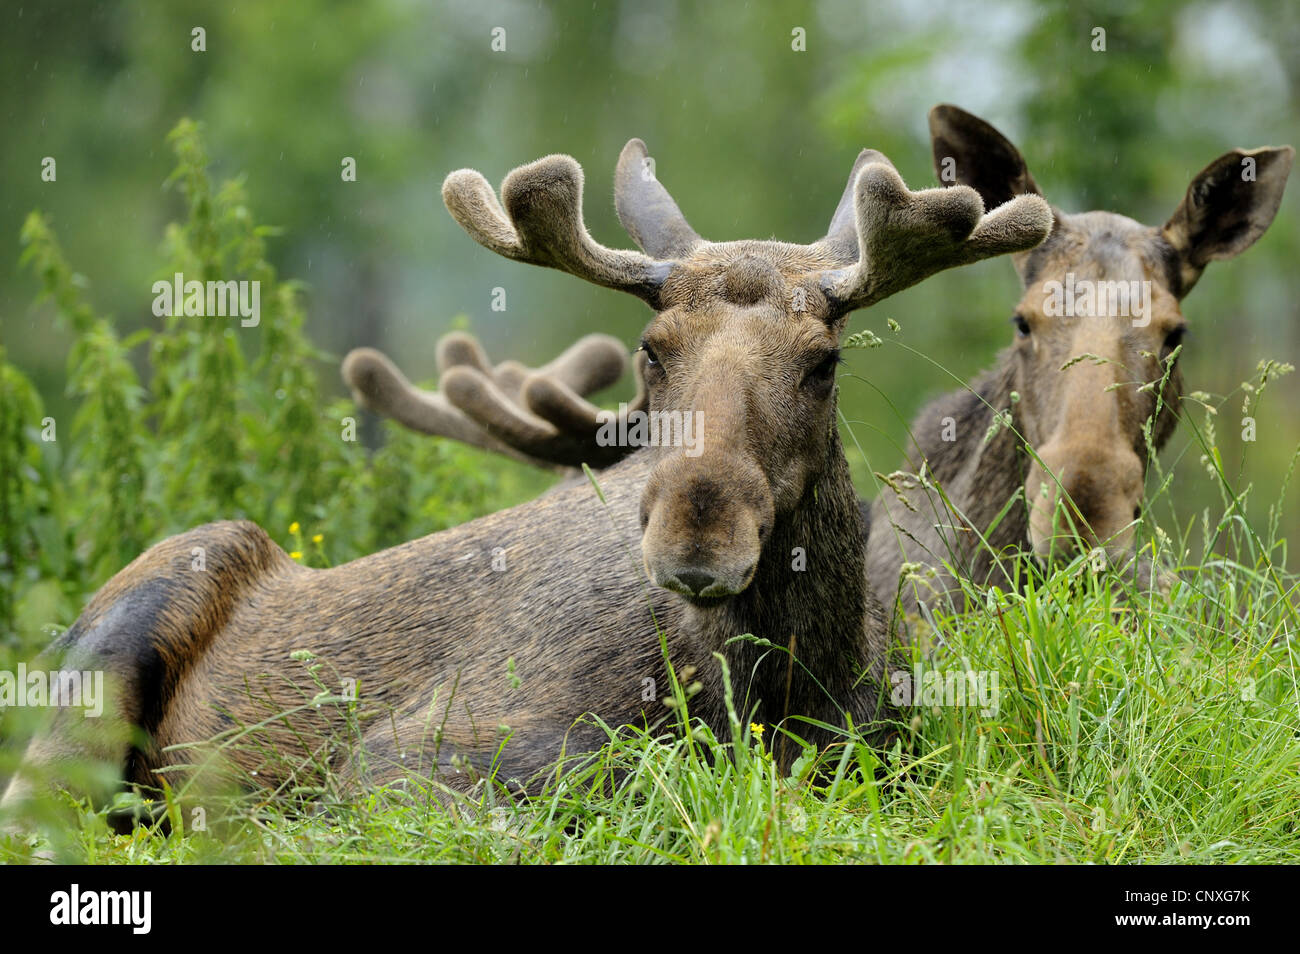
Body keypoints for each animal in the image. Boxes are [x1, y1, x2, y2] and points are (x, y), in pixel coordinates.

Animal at [0, 137, 1053, 820]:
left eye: (823, 362)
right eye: (651, 351)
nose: (698, 536)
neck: (780, 696)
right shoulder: (404, 761)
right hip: (113, 660)